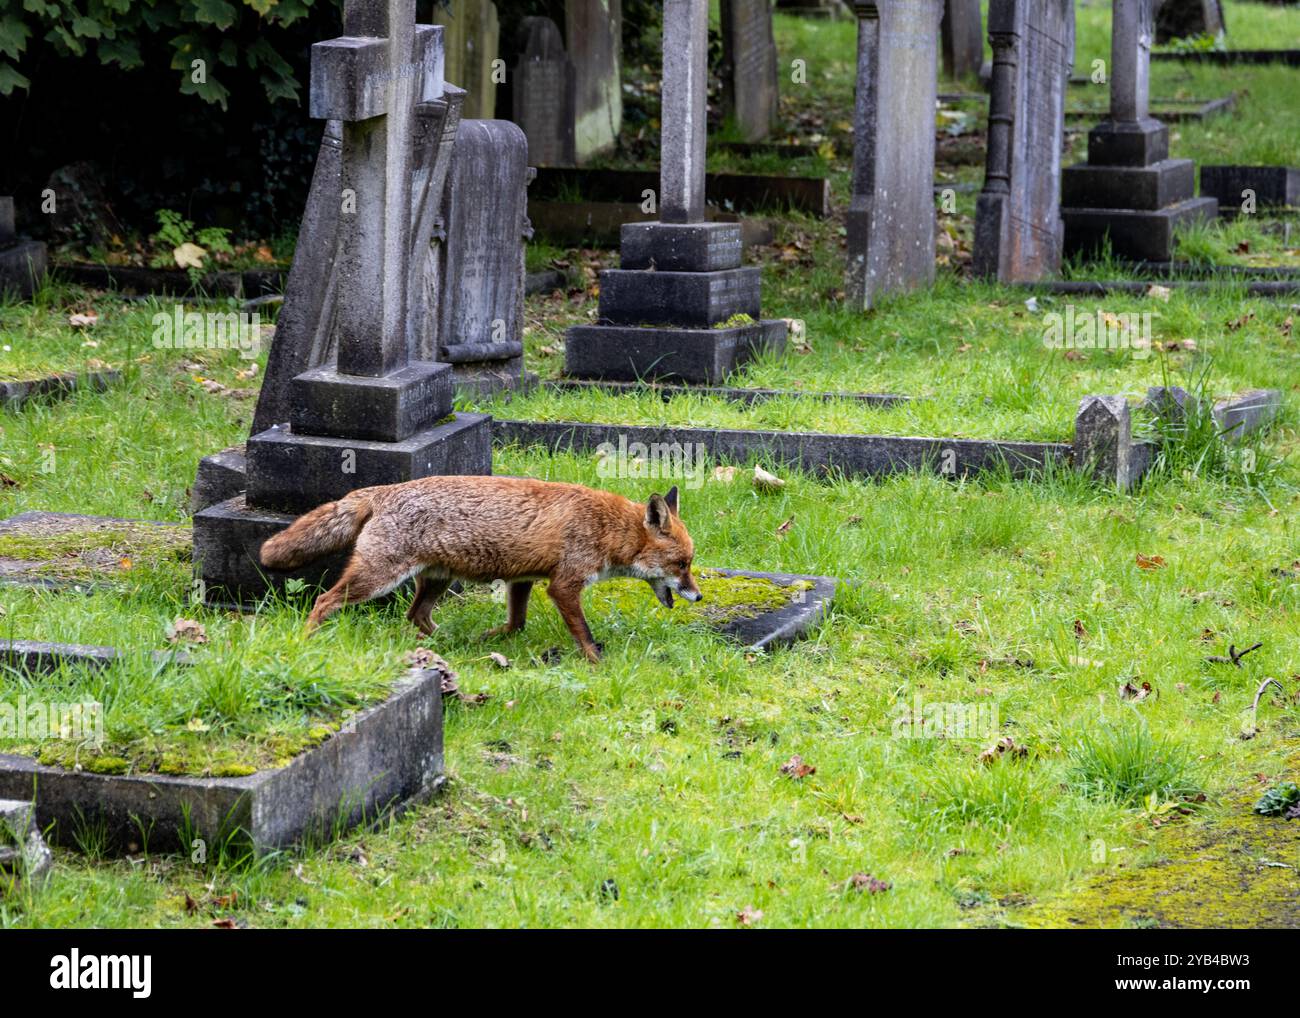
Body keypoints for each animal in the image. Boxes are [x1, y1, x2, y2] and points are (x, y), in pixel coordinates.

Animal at [258, 475, 702, 663]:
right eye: (682, 564)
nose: (697, 595)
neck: (607, 528)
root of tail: (386, 490)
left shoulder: (525, 578)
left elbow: (516, 623)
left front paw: (493, 637)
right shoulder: (563, 585)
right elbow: (584, 633)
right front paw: (596, 661)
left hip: (437, 580)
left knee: (416, 615)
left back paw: (453, 642)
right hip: (377, 578)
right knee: (323, 599)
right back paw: (308, 641)